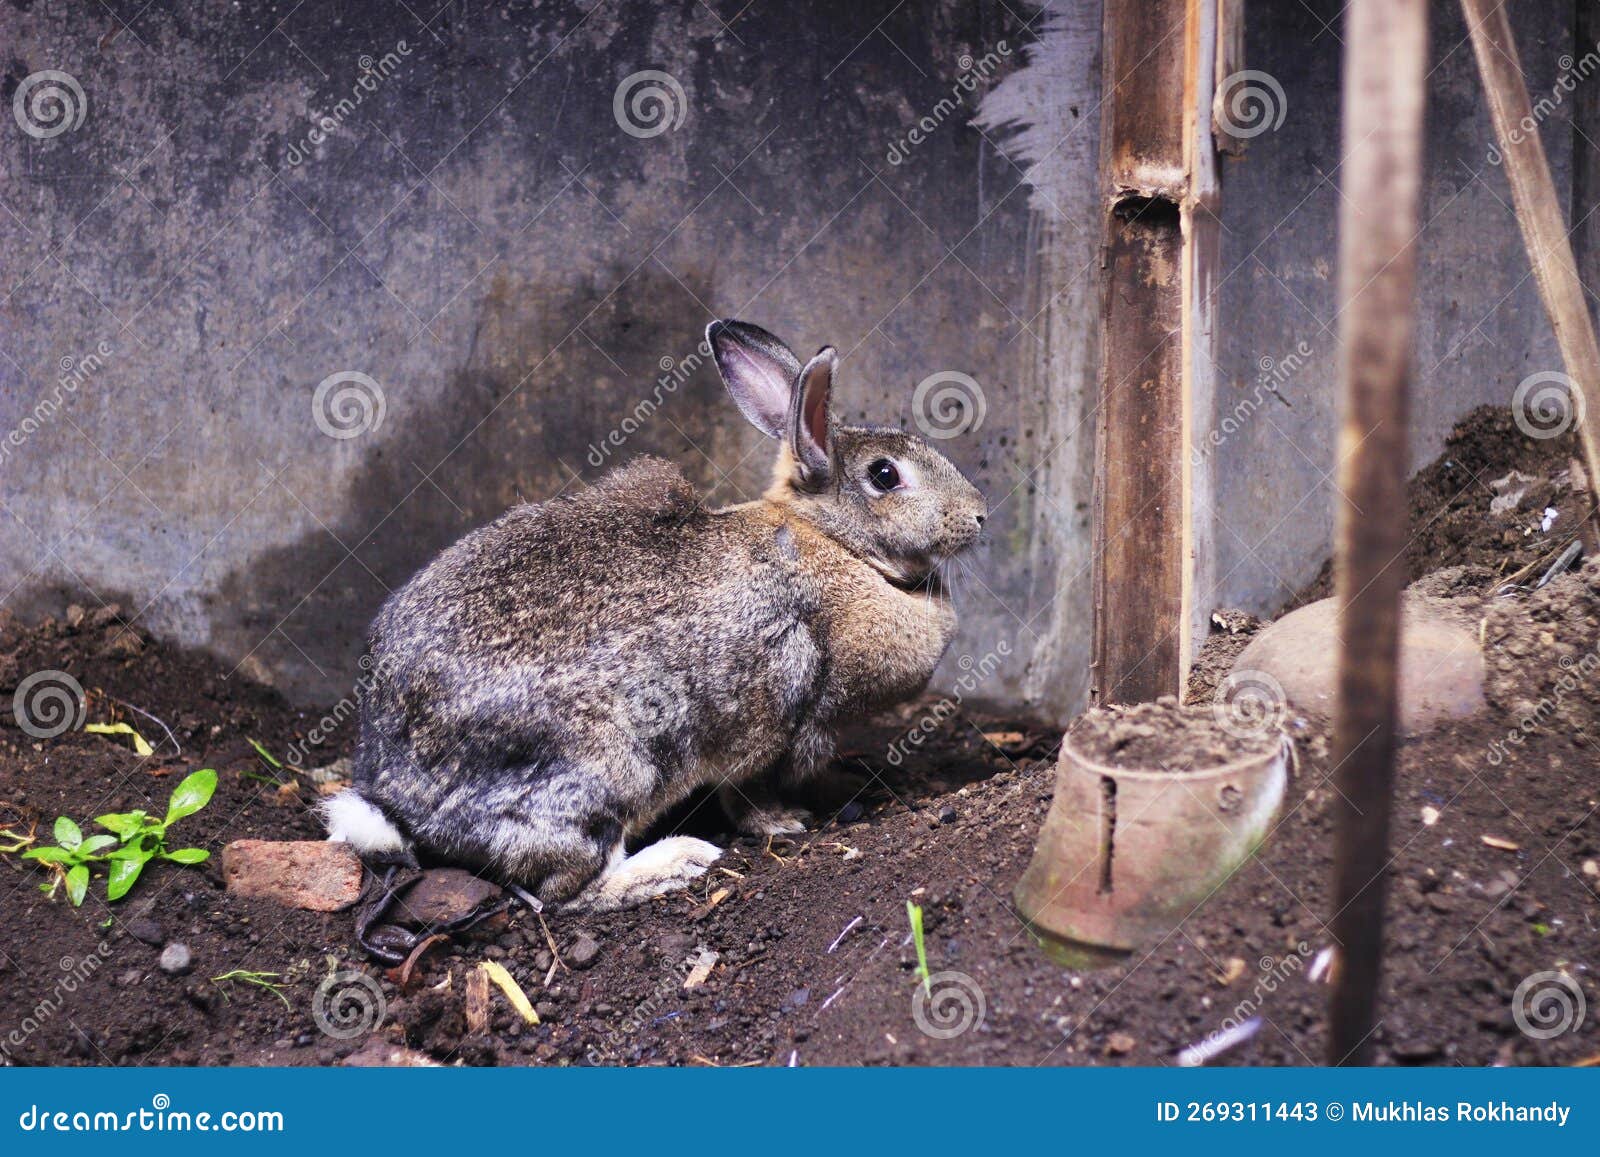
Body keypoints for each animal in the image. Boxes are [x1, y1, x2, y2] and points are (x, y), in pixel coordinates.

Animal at [324, 319, 987, 912]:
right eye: (885, 475)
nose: (980, 515)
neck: (832, 542)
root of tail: (401, 802)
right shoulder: (777, 715)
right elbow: (749, 791)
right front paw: (784, 824)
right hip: (607, 769)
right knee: (565, 893)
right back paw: (678, 862)